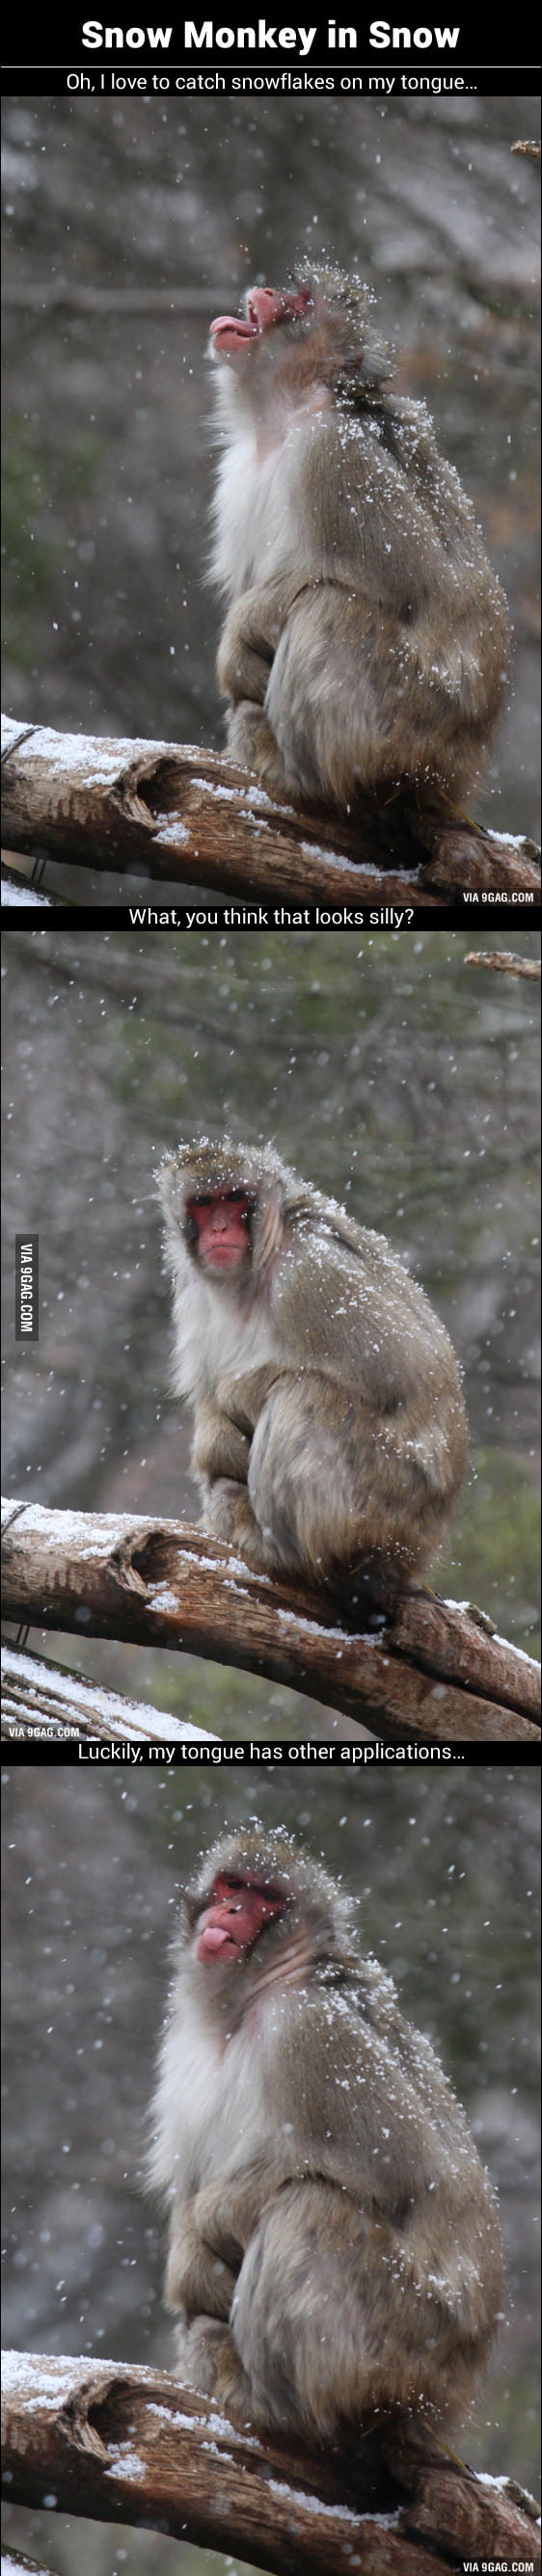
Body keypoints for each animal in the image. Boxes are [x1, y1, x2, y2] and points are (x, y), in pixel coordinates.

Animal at [148, 1823, 504, 2447]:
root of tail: (448, 2405)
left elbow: (398, 2167)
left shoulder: (312, 2030)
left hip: (405, 2347)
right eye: (232, 1884)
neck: (247, 2003)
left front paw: (213, 2223)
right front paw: (193, 2268)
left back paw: (280, 2408)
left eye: (266, 1897)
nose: (230, 1910)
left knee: (310, 2203)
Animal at [157, 1136, 469, 1618]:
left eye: (235, 1197)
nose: (221, 1229)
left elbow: (399, 1371)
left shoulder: (313, 1271)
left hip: (385, 1508)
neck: (252, 1275)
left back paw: (286, 1553)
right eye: (204, 1203)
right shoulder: (192, 1295)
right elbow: (207, 1400)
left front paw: (234, 1395)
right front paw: (216, 1442)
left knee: (302, 1392)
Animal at [209, 262, 510, 820]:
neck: (285, 421)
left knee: (330, 603)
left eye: (302, 301)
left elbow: (397, 578)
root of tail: (457, 779)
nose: (266, 291)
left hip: (404, 728)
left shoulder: (333, 455)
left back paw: (303, 777)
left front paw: (237, 642)